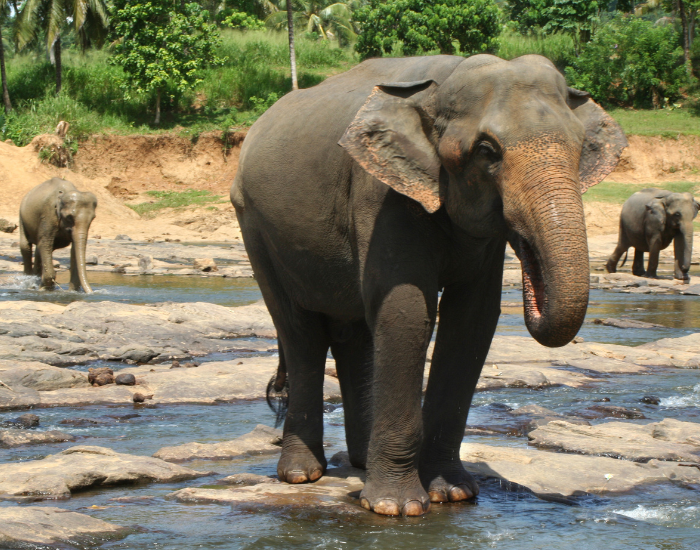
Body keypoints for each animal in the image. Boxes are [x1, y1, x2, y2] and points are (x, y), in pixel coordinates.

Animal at [231, 54, 627, 516]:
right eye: (487, 152)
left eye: (581, 148)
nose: (533, 277)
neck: (442, 83)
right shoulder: (382, 193)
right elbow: (406, 311)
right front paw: (395, 507)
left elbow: (472, 320)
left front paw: (453, 493)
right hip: (255, 226)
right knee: (301, 331)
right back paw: (301, 474)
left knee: (354, 333)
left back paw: (360, 461)